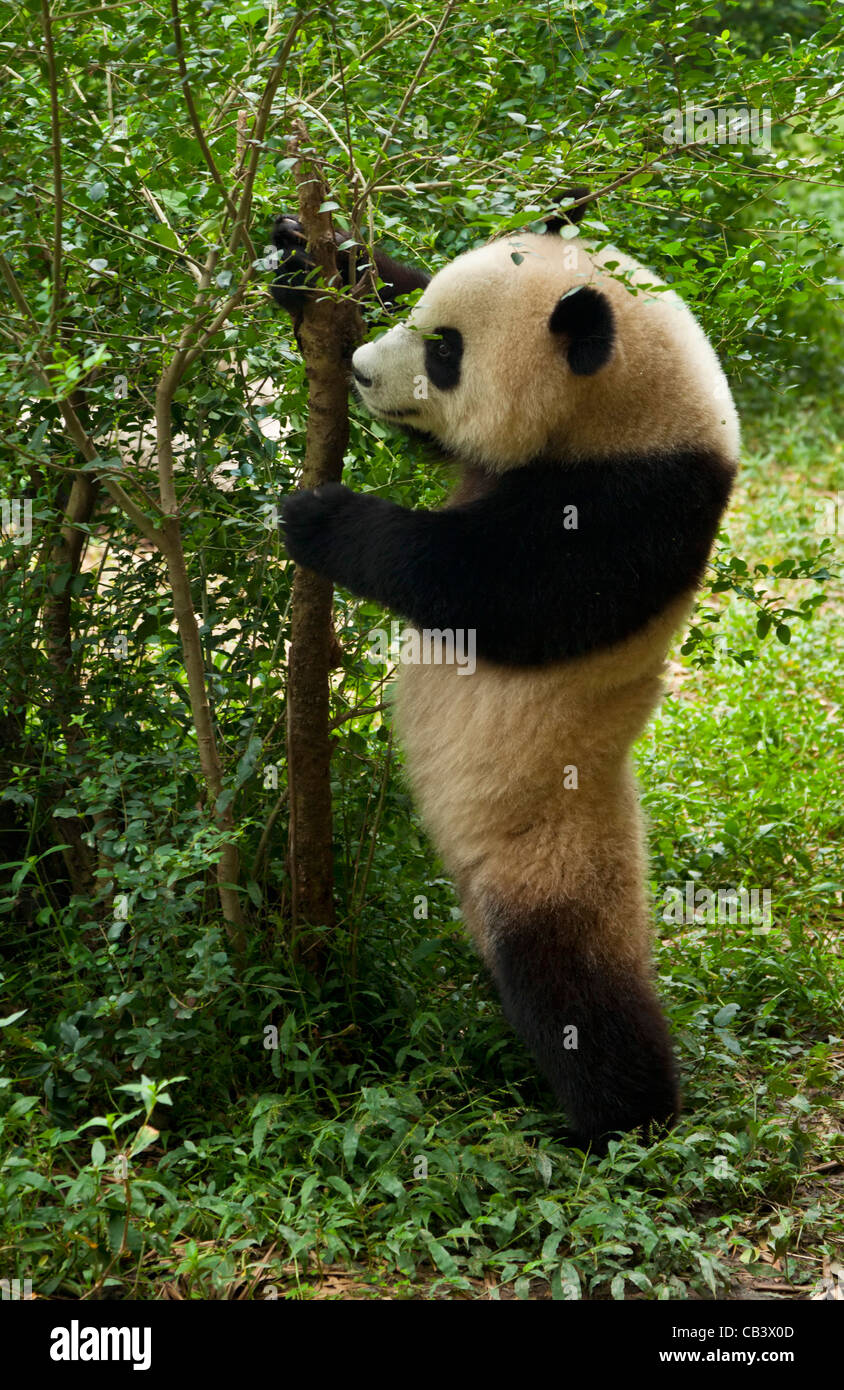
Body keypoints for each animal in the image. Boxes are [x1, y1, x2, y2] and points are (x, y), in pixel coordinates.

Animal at [271, 192, 739, 1149]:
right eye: (419, 317)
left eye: (446, 353)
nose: (363, 372)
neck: (633, 403)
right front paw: (307, 262)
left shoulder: (640, 500)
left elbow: (490, 591)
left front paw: (318, 517)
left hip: (550, 852)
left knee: (573, 987)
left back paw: (626, 1120)